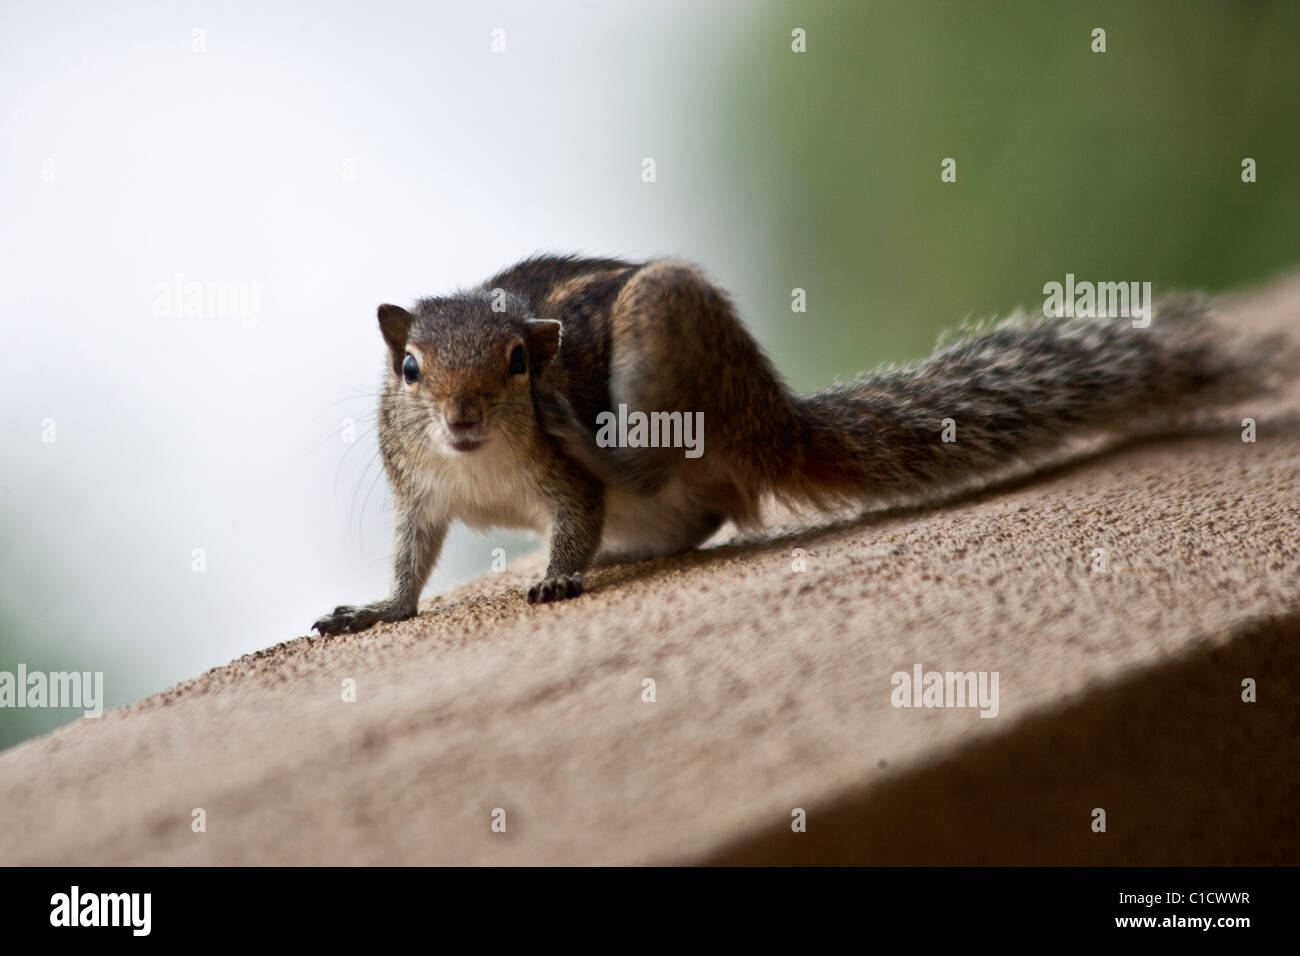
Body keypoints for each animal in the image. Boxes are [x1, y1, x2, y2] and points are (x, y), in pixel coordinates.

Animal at [312, 254, 1282, 635]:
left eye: (516, 361)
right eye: (409, 368)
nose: (463, 417)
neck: (476, 468)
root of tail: (773, 416)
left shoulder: (559, 489)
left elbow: (575, 515)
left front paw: (556, 574)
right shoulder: (417, 494)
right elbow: (410, 561)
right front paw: (376, 609)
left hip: (665, 332)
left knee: (651, 469)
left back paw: (593, 444)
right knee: (692, 518)